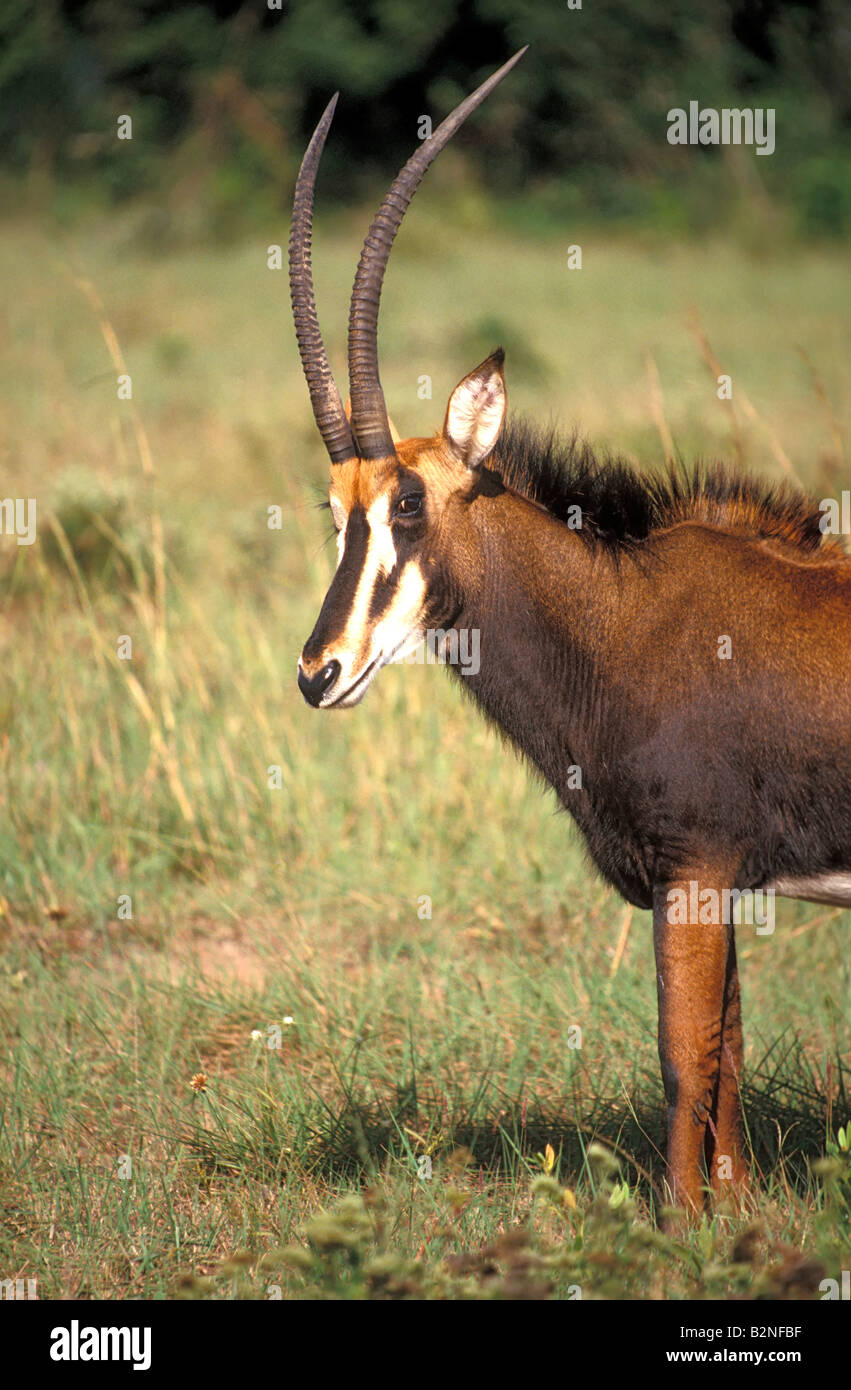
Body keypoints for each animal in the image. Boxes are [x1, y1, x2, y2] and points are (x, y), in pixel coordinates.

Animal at [289, 49, 851, 1214]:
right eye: (333, 508)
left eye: (407, 502)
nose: (321, 672)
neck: (620, 613)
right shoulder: (716, 883)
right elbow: (727, 1052)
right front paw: (730, 1209)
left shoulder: (692, 871)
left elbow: (683, 1055)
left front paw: (676, 1225)